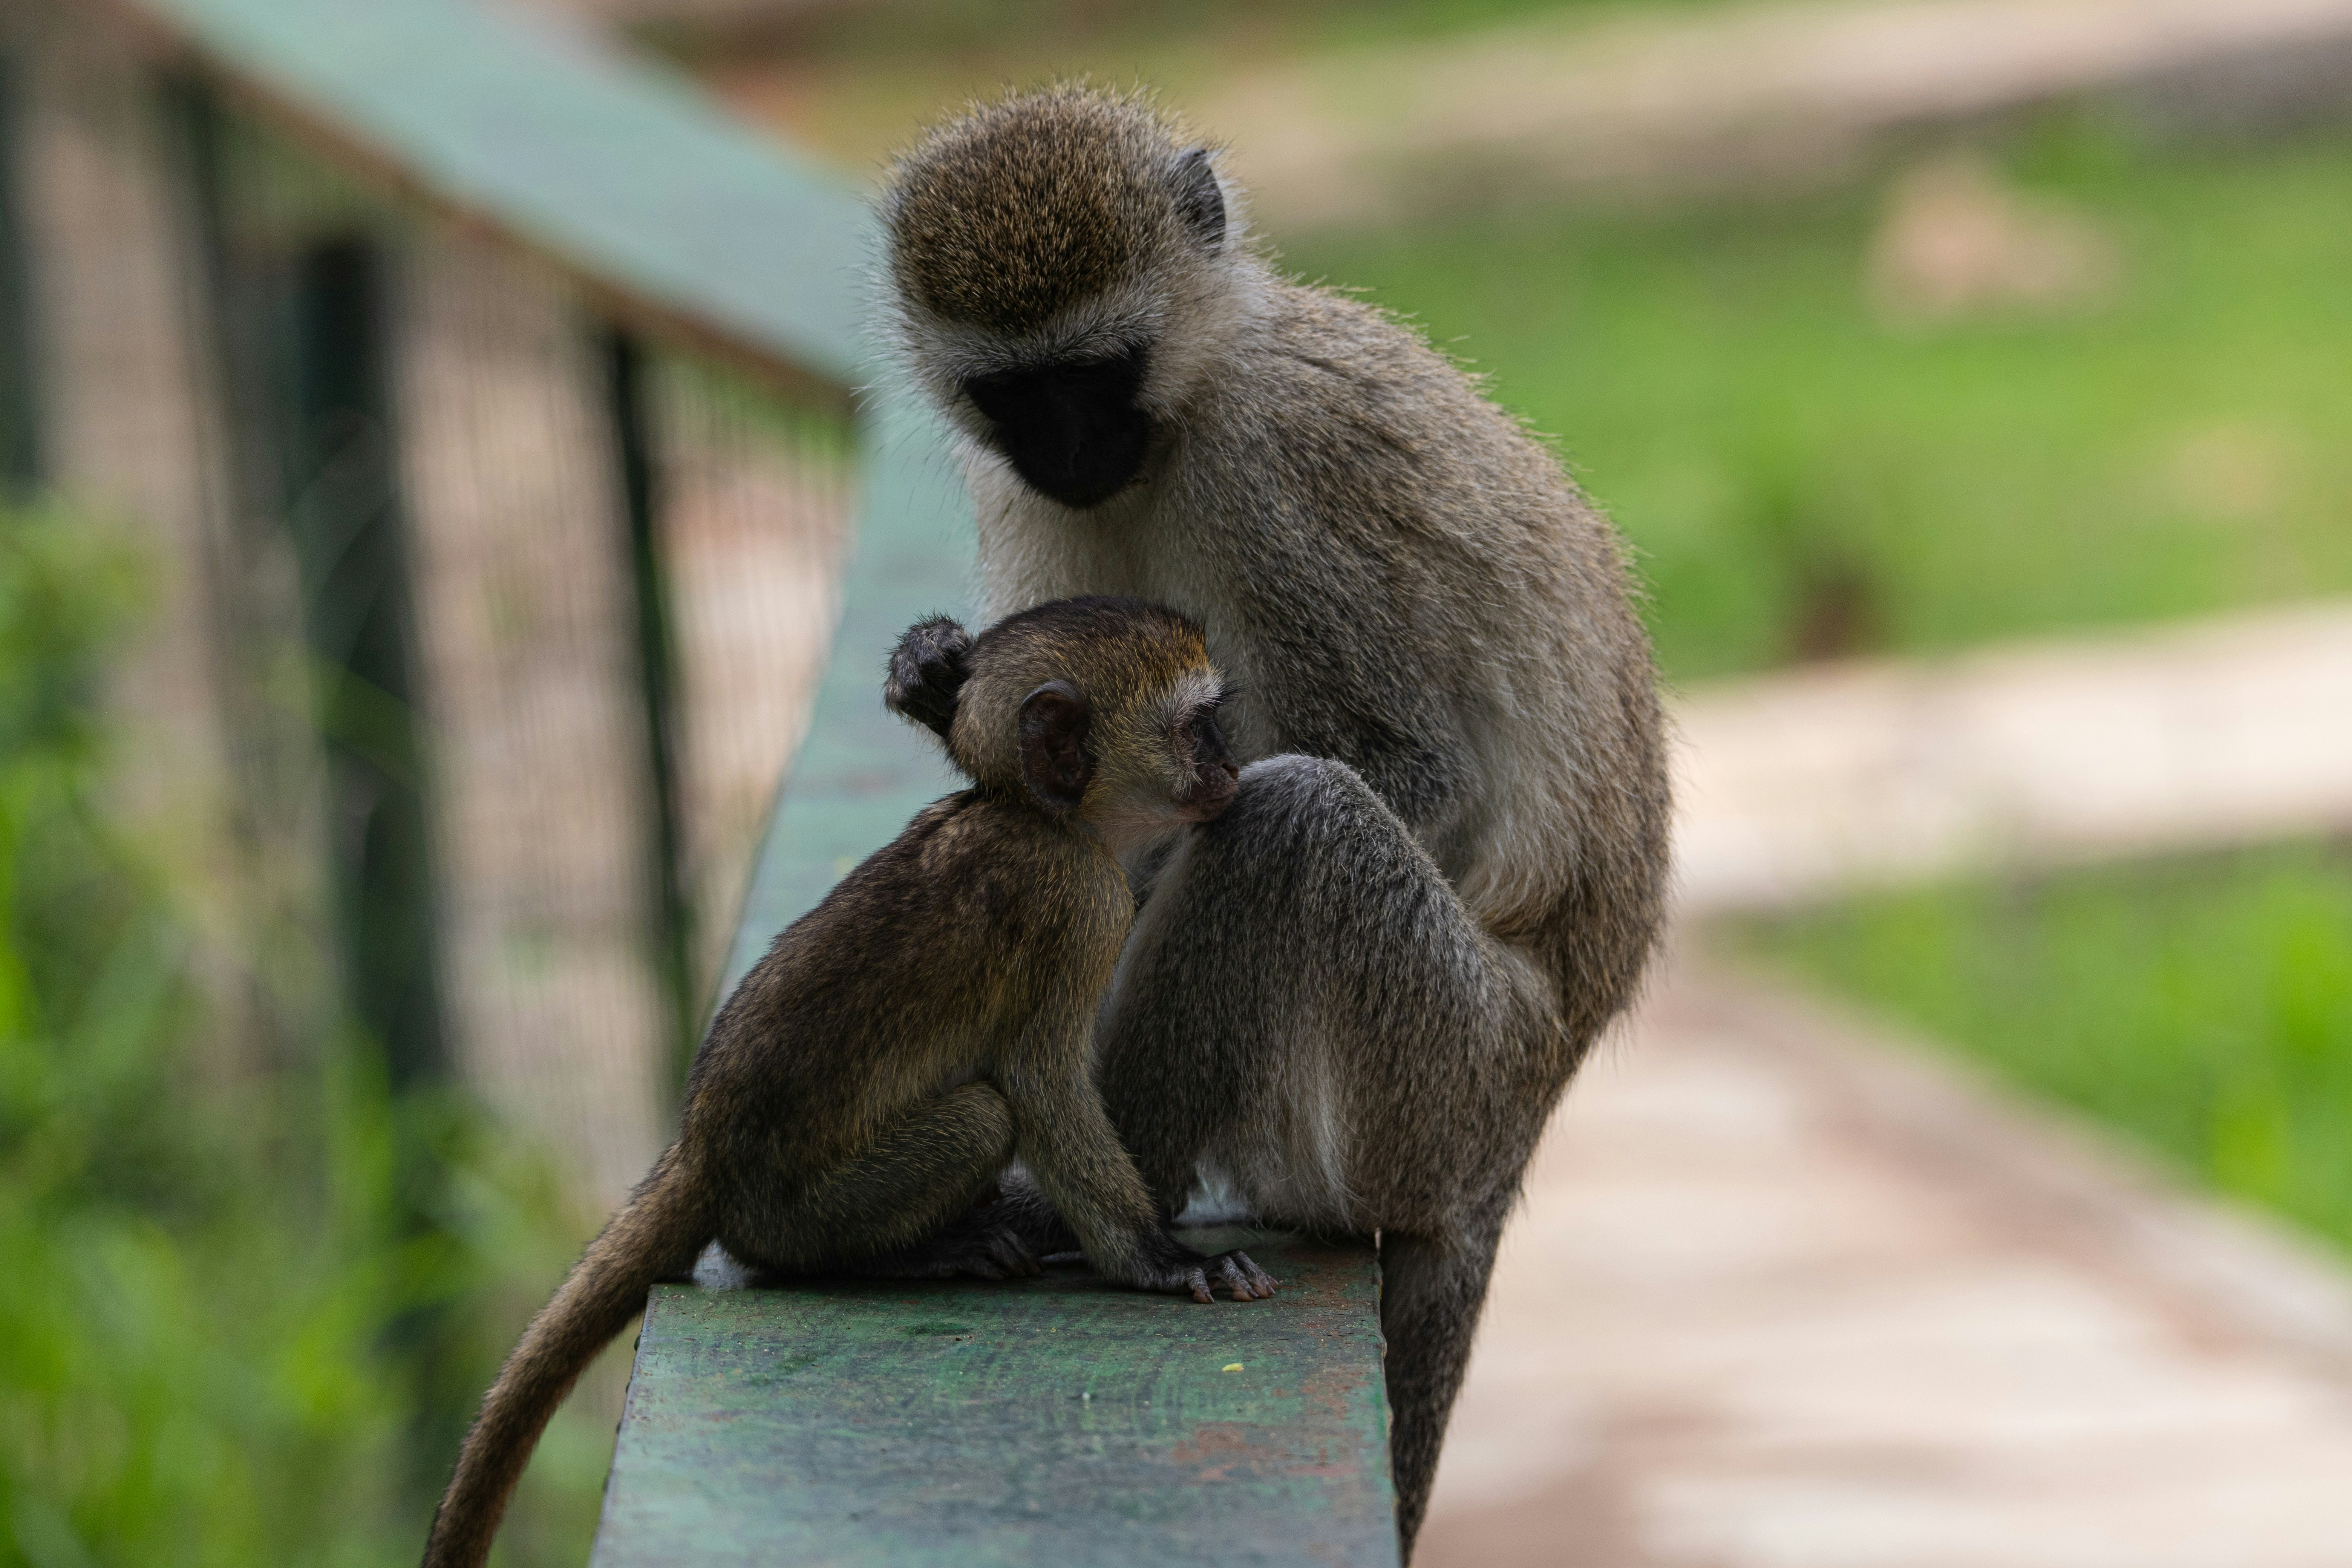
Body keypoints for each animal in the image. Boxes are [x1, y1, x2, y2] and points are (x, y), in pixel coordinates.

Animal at [420, 595, 1276, 1568]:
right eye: (1198, 727)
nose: (1229, 766)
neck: (1043, 819)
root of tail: (701, 1148)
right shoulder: (1078, 903)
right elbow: (1040, 1083)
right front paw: (1156, 1258)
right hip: (796, 1208)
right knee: (977, 1118)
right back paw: (899, 1251)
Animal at [880, 87, 1672, 1555]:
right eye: (1014, 392)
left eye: (1100, 370)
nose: (1067, 452)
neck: (1185, 408)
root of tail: (1514, 1141)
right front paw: (931, 677)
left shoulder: (1279, 467)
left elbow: (1409, 768)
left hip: (1444, 1080)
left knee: (1293, 821)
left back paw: (1094, 1205)